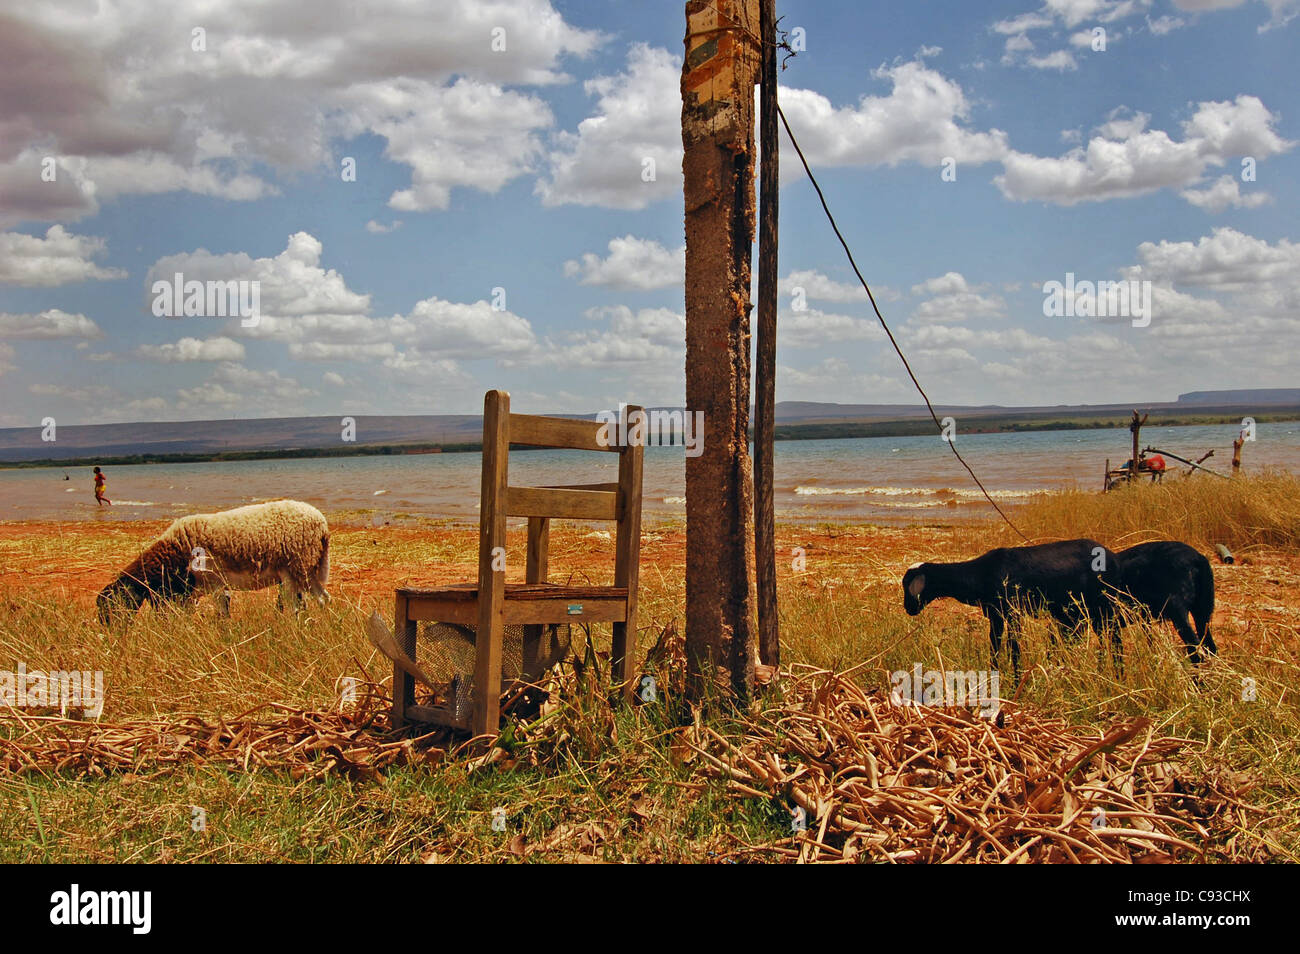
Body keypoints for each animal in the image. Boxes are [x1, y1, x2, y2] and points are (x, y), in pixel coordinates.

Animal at [97, 500, 330, 623]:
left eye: (112, 605)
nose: (111, 634)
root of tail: (321, 524)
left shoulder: (215, 583)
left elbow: (222, 616)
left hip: (297, 568)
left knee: (299, 606)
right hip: (304, 570)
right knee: (320, 599)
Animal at [901, 539, 1123, 676]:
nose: (907, 608)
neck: (980, 574)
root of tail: (1113, 557)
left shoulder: (1013, 614)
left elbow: (1014, 649)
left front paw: (1017, 683)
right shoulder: (996, 616)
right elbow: (995, 647)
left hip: (1104, 607)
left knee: (1114, 639)